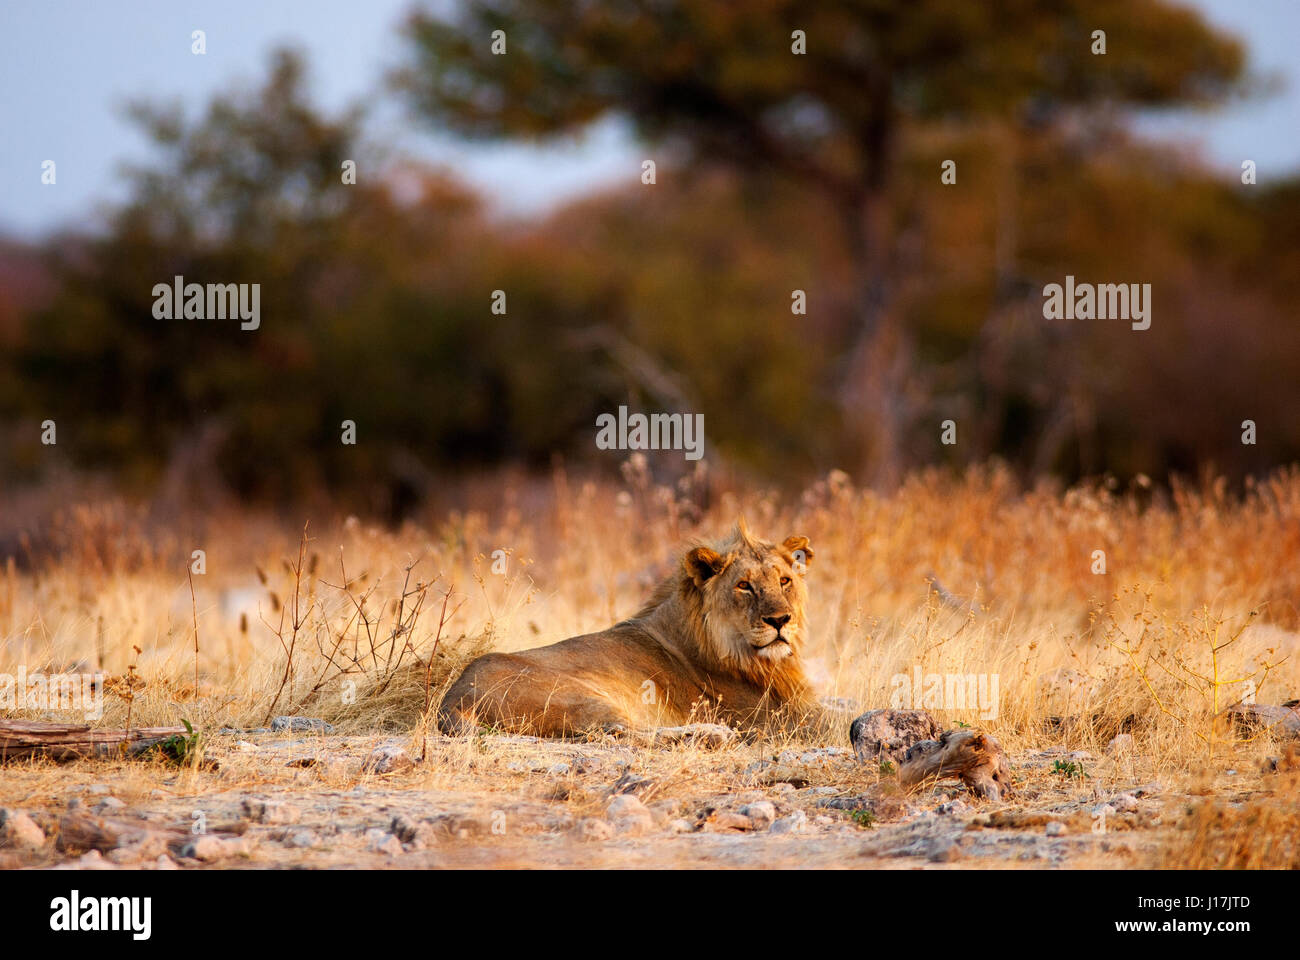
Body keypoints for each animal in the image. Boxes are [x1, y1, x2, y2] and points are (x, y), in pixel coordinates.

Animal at [437, 521, 821, 738]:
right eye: (744, 586)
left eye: (784, 581)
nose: (780, 620)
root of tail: (452, 700)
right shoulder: (781, 717)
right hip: (583, 697)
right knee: (623, 734)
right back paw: (711, 732)